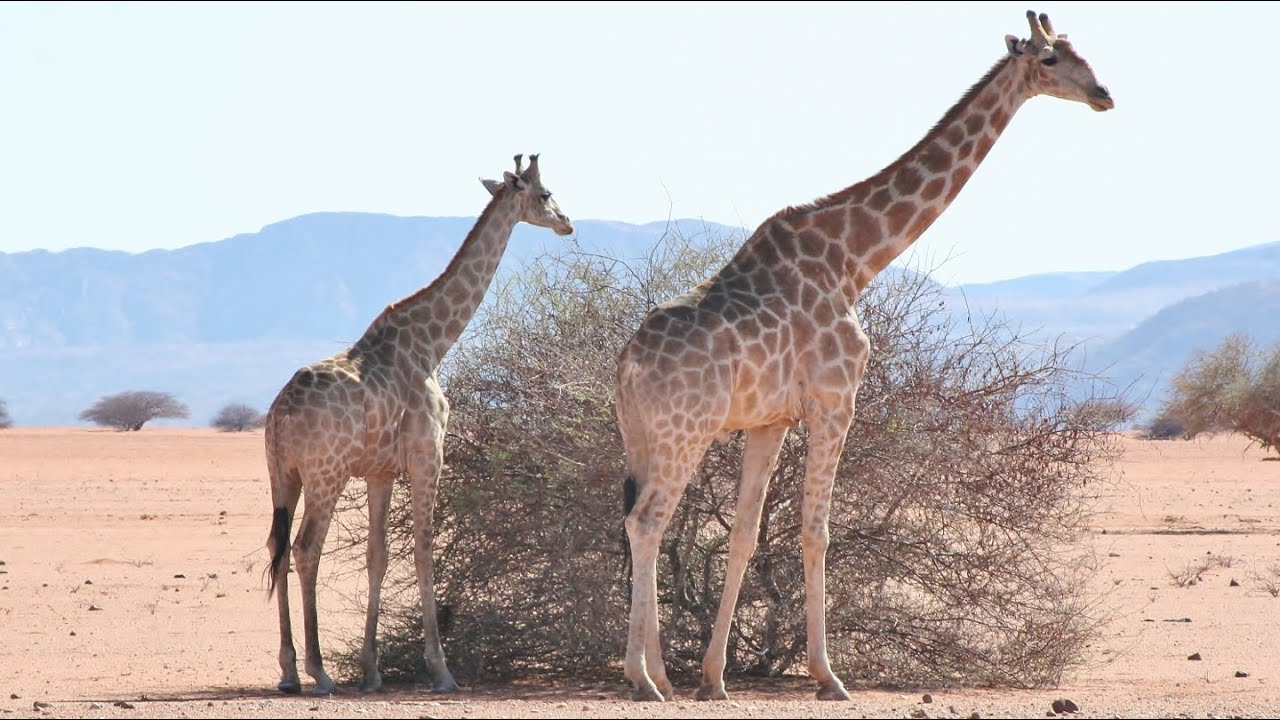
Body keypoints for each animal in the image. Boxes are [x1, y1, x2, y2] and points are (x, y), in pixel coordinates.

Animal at [263, 154, 573, 695]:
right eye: (544, 194)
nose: (567, 222)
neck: (432, 345)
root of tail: (280, 414)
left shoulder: (381, 471)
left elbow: (378, 557)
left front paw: (371, 671)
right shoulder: (429, 455)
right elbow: (426, 551)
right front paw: (441, 670)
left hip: (283, 475)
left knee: (277, 548)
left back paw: (287, 671)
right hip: (325, 475)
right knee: (306, 549)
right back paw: (319, 671)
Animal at [615, 11, 1113, 702]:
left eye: (1077, 51)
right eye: (1049, 60)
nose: (1103, 94)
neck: (854, 261)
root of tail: (627, 366)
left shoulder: (770, 420)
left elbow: (745, 534)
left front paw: (714, 678)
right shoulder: (835, 400)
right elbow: (816, 531)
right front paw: (829, 676)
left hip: (643, 437)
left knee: (643, 522)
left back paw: (661, 672)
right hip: (685, 432)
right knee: (647, 523)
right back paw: (643, 678)